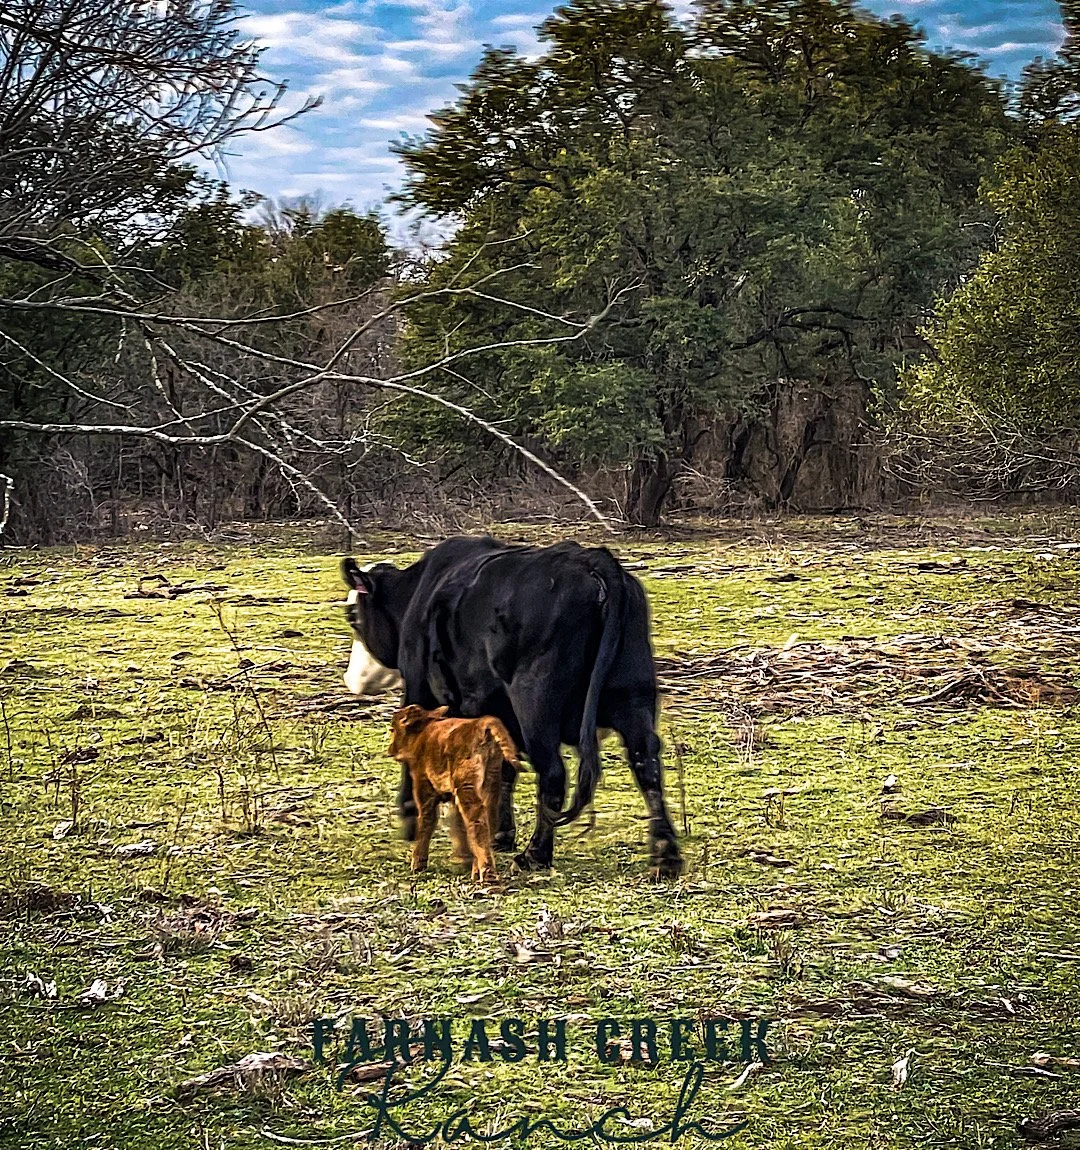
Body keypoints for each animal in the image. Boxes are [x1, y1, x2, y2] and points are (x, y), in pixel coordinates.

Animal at [388, 704, 520, 883]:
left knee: (477, 824)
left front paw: (417, 864)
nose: (390, 750)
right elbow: (458, 824)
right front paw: (463, 858)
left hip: (466, 788)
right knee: (489, 822)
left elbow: (427, 822)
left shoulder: (424, 789)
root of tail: (481, 724)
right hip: (490, 786)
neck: (422, 734)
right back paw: (476, 871)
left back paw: (487, 876)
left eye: (393, 729)